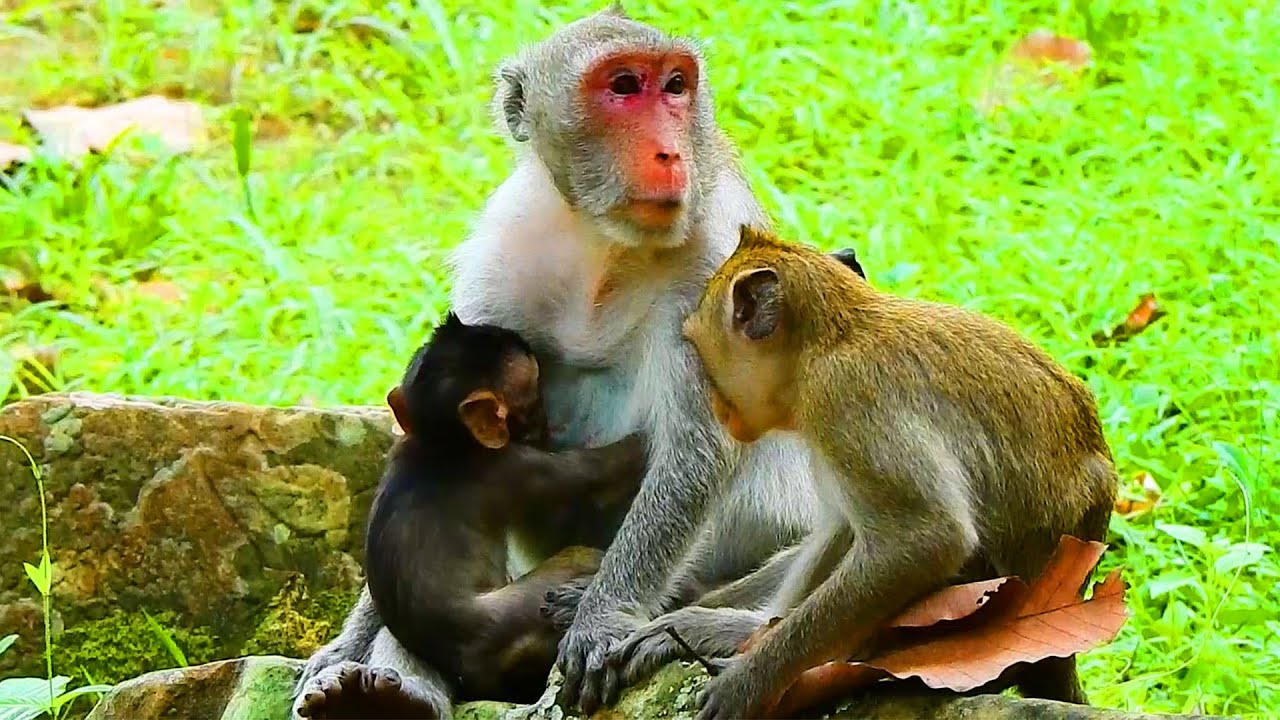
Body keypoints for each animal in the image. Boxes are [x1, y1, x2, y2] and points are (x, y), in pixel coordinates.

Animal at [294, 313, 647, 719]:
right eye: (534, 397)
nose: (547, 421)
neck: (441, 443)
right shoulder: (514, 466)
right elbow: (597, 471)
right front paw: (640, 442)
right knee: (577, 558)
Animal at [674, 224, 1118, 719]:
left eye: (702, 357)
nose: (716, 408)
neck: (830, 341)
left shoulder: (843, 399)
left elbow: (926, 539)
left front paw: (749, 681)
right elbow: (840, 528)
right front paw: (738, 631)